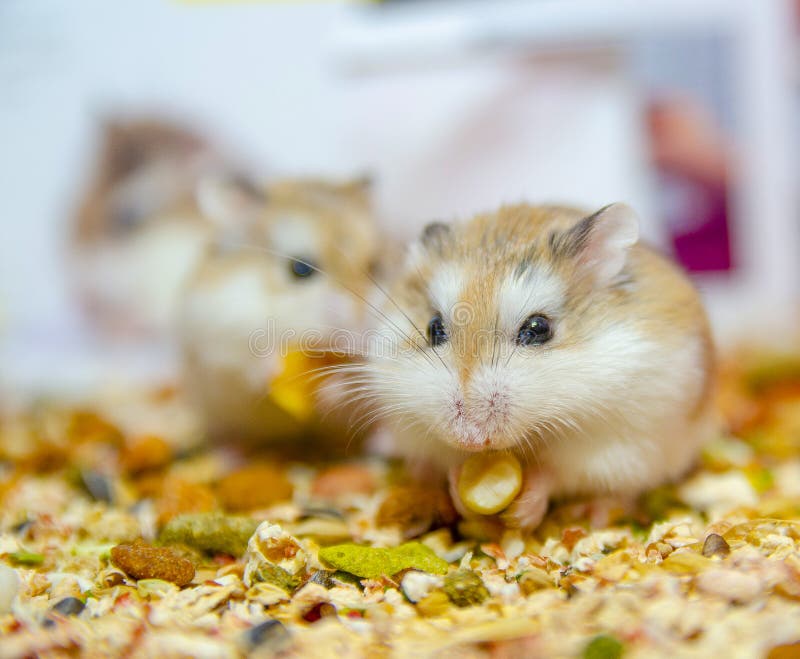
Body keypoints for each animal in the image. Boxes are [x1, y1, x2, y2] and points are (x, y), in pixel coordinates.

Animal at [178, 176, 383, 445]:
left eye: (375, 266)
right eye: (300, 268)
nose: (360, 336)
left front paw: (328, 392)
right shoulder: (220, 333)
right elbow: (247, 362)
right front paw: (271, 367)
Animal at [359, 202, 716, 530]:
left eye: (537, 329)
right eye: (433, 328)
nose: (470, 439)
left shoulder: (607, 446)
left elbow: (554, 473)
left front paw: (521, 513)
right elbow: (447, 467)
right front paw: (459, 486)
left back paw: (596, 513)